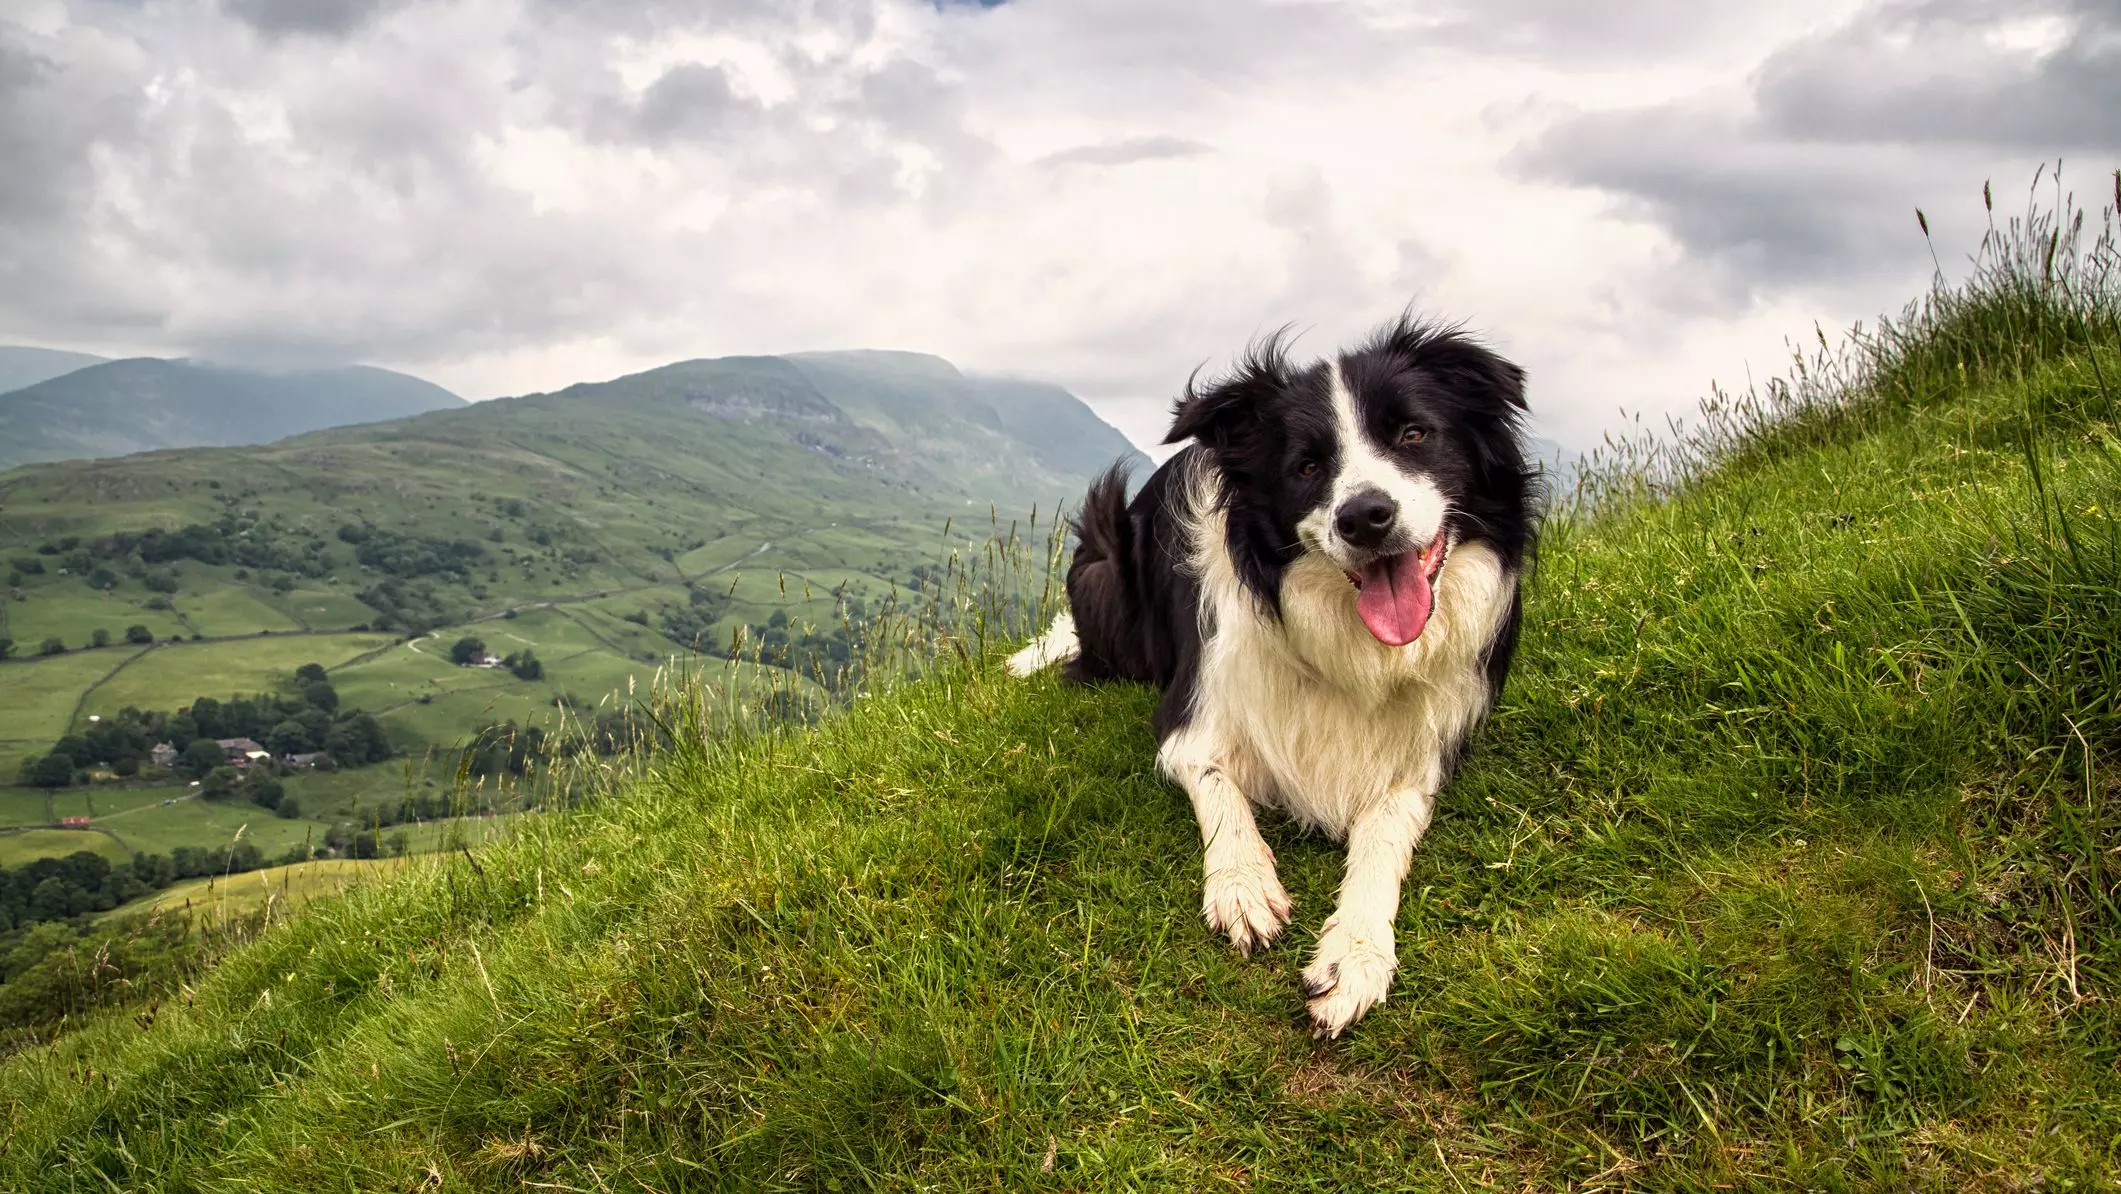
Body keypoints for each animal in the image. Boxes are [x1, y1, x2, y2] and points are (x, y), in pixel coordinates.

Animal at [1001, 315, 1535, 1039]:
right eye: (1307, 466)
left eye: (1413, 434)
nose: (1364, 517)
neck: (1349, 645)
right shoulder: (1191, 717)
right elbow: (1219, 788)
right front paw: (1242, 885)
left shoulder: (1424, 751)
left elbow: (1385, 834)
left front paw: (1356, 952)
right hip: (1103, 564)